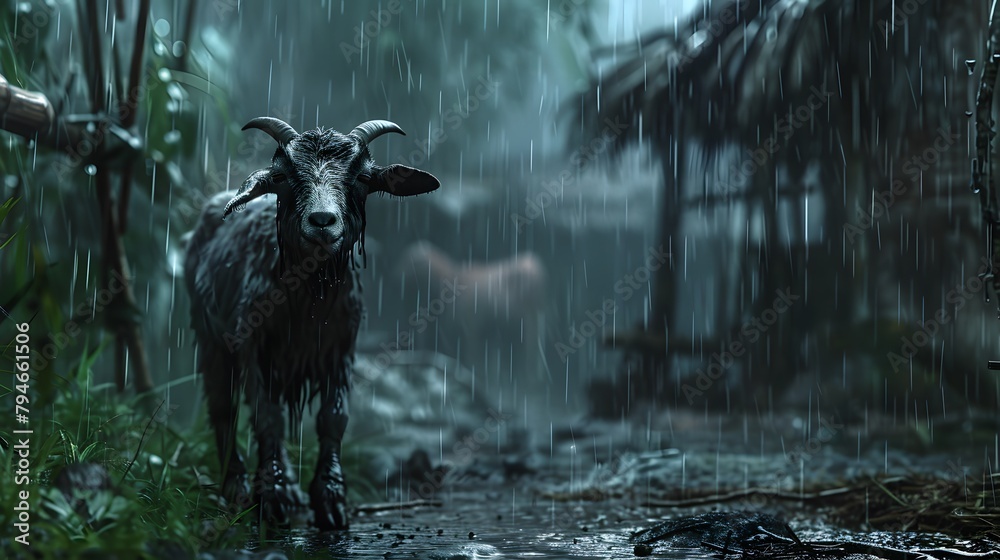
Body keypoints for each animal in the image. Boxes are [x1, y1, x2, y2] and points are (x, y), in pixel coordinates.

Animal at [184, 117, 439, 530]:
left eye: (362, 177)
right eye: (282, 176)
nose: (322, 221)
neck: (308, 299)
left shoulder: (341, 347)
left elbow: (333, 418)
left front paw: (330, 500)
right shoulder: (251, 342)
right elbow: (265, 416)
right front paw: (270, 499)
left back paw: (288, 486)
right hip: (211, 339)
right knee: (224, 409)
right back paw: (237, 486)